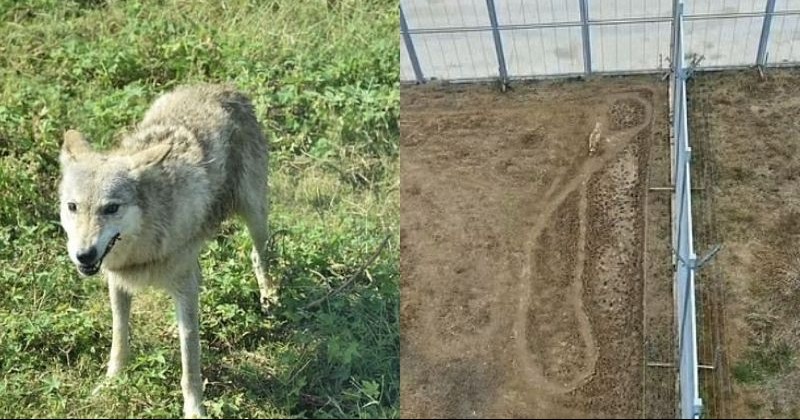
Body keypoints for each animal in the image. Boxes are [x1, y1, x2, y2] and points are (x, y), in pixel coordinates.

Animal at [58, 84, 275, 418]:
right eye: (73, 207)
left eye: (111, 208)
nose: (84, 255)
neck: (144, 247)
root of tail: (224, 88)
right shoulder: (117, 283)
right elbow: (119, 339)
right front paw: (110, 383)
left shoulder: (185, 289)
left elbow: (190, 359)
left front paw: (194, 409)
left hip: (255, 218)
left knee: (259, 255)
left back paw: (269, 298)